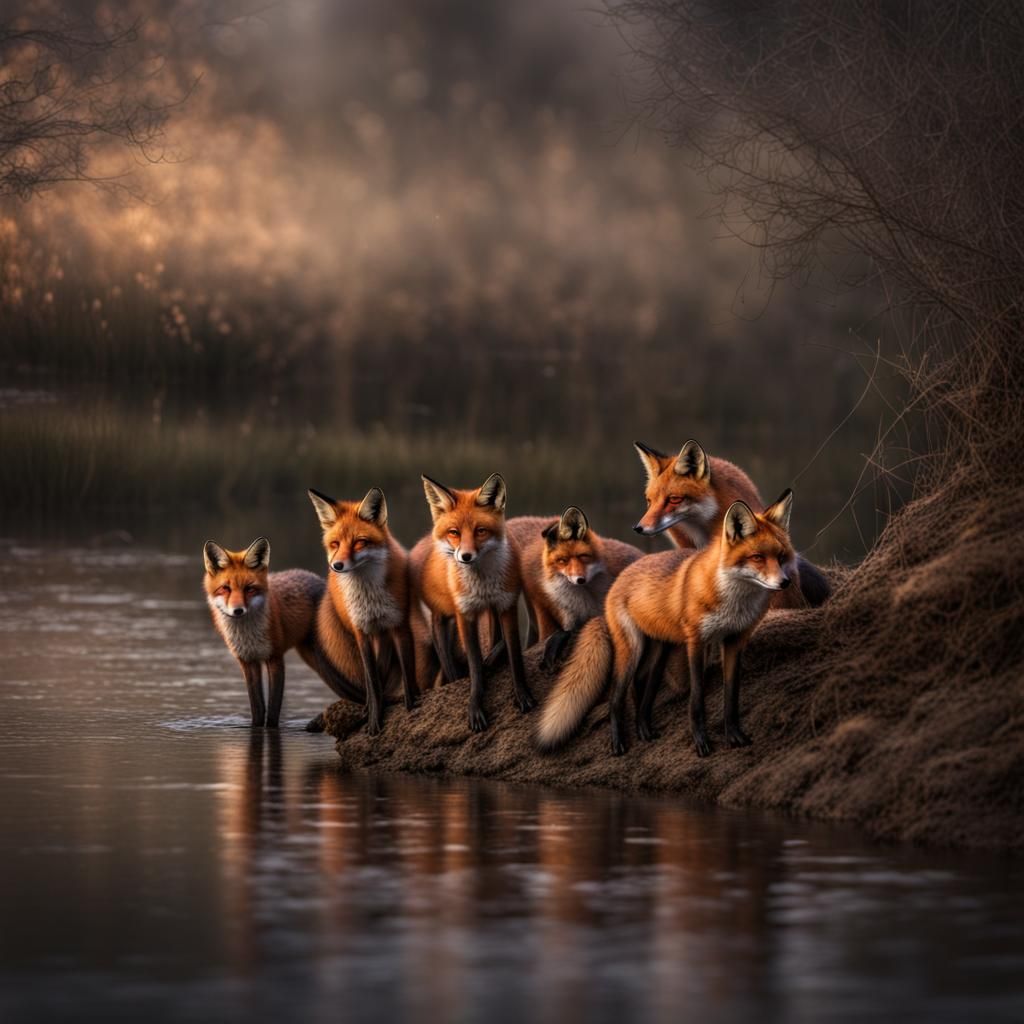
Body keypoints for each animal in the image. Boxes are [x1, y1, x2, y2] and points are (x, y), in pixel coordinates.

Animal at [203, 537, 325, 728]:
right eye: (226, 588)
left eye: (249, 588)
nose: (238, 610)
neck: (248, 636)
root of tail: (315, 576)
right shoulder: (248, 662)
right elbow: (258, 709)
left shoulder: (275, 657)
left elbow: (273, 710)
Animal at [307, 486, 422, 736]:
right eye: (335, 544)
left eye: (360, 542)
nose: (337, 566)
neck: (370, 598)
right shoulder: (361, 632)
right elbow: (372, 680)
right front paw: (374, 719)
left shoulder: (399, 626)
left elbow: (408, 673)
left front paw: (411, 704)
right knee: (372, 680)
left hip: (384, 637)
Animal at [410, 473, 536, 732]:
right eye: (454, 532)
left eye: (480, 531)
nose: (465, 556)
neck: (483, 585)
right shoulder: (465, 614)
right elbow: (475, 666)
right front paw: (475, 707)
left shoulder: (506, 605)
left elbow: (514, 655)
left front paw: (522, 695)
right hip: (442, 618)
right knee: (447, 659)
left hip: (491, 612)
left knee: (496, 640)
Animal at [506, 507, 644, 667]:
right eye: (562, 561)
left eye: (583, 556)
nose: (580, 579)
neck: (588, 598)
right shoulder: (568, 613)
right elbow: (568, 629)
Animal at [535, 490, 796, 759]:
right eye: (757, 558)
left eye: (781, 557)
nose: (784, 582)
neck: (733, 604)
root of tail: (621, 576)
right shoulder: (696, 641)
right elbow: (697, 698)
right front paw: (701, 742)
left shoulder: (735, 641)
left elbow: (731, 695)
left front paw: (734, 735)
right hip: (632, 649)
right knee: (617, 697)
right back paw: (618, 742)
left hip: (659, 652)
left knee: (642, 690)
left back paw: (643, 729)